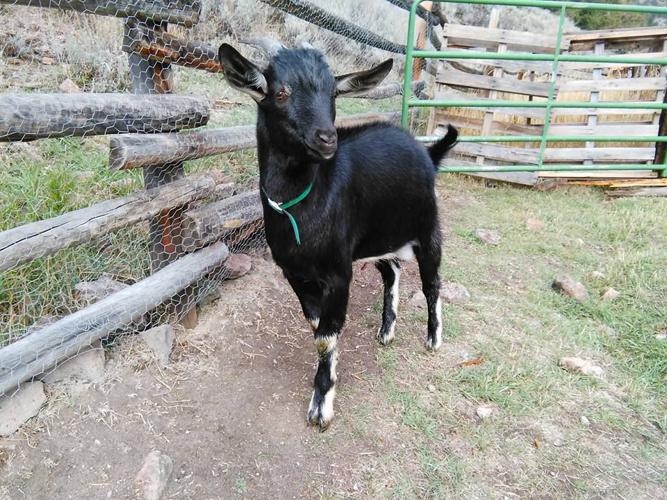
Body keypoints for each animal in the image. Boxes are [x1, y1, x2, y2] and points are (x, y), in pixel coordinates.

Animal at [218, 43, 458, 430]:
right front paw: (328, 377)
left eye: (333, 94)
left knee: (432, 283)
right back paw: (386, 331)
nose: (327, 137)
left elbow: (326, 337)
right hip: (378, 237)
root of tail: (426, 151)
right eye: (280, 93)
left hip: (427, 228)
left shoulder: (338, 272)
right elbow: (317, 327)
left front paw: (321, 407)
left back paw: (433, 338)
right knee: (392, 272)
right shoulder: (295, 274)